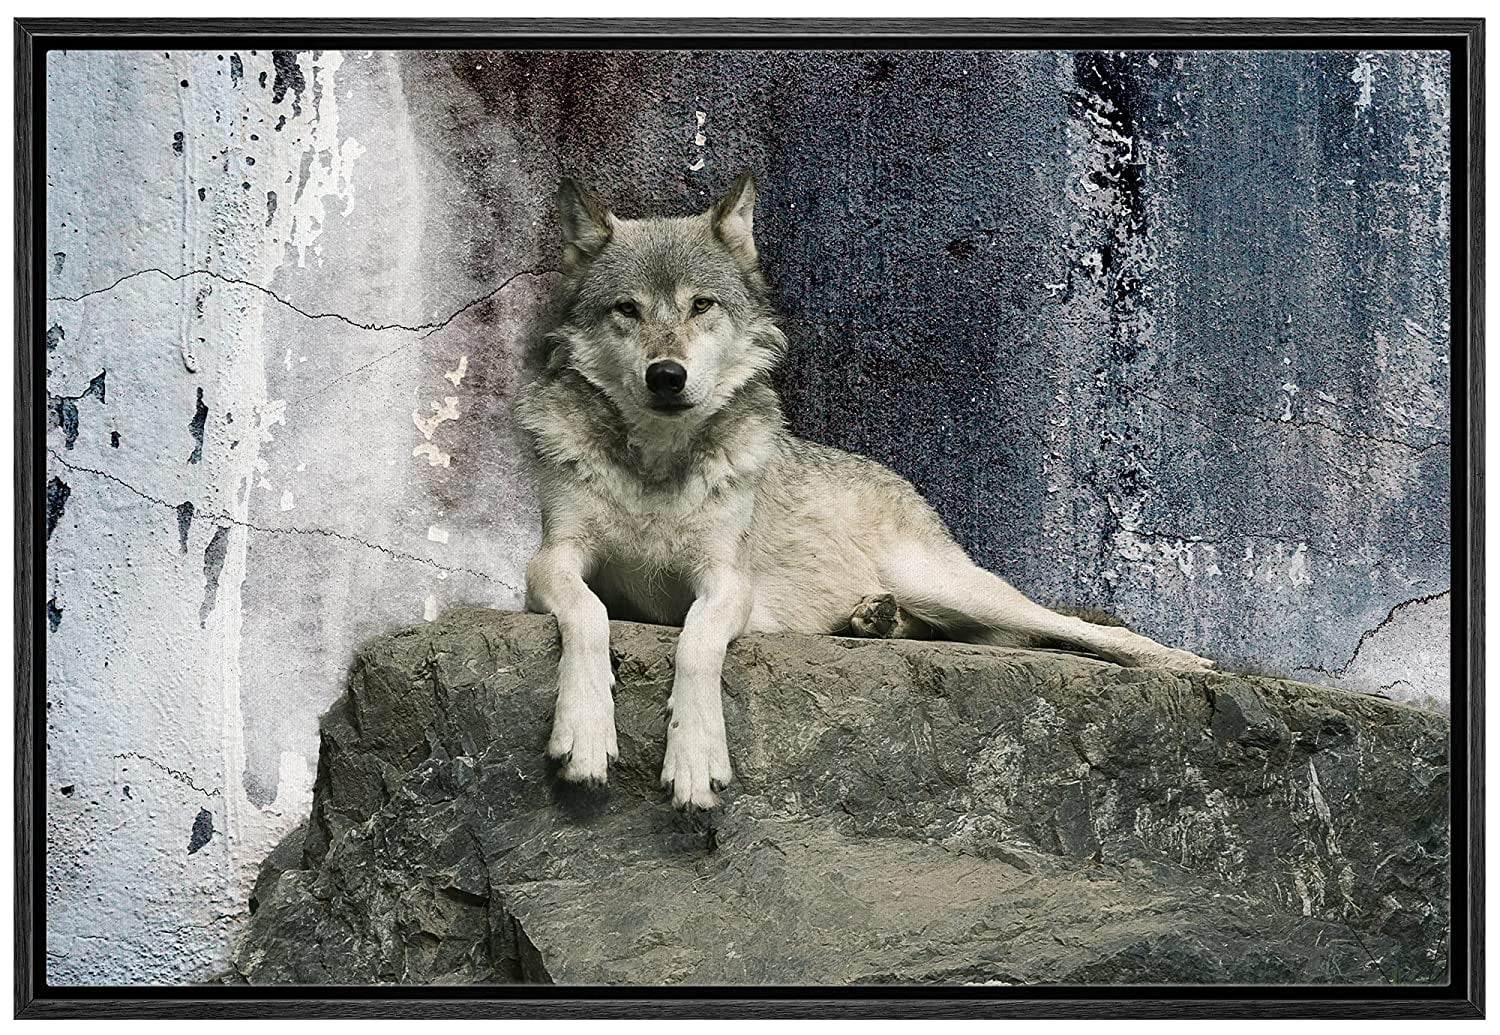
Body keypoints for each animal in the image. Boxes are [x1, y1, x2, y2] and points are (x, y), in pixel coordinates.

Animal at [514, 171, 1214, 810]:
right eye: (627, 309)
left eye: (701, 306)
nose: (666, 375)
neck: (657, 467)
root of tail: (898, 481)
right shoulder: (551, 562)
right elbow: (590, 613)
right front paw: (586, 731)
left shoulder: (726, 581)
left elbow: (696, 643)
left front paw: (694, 756)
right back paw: (877, 620)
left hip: (946, 583)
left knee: (1072, 627)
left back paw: (1180, 662)